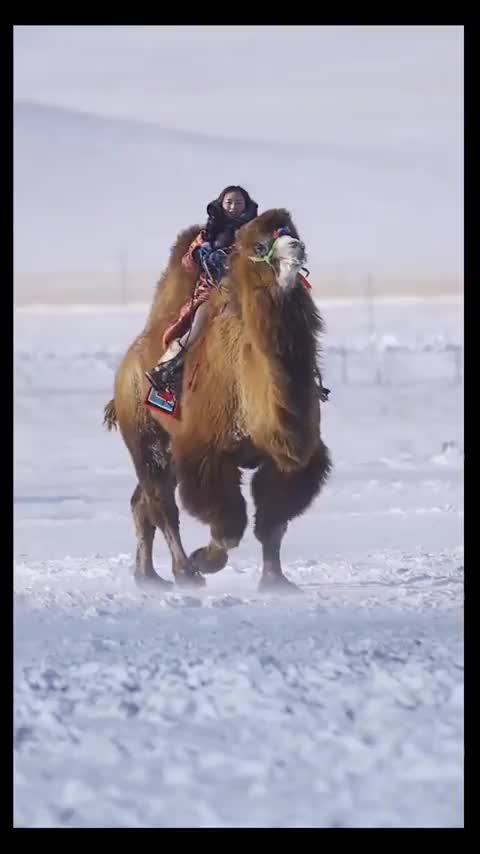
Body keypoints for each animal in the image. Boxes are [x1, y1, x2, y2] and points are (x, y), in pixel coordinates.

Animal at [103, 208, 331, 592]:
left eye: (293, 233)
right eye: (261, 245)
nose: (297, 249)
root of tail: (126, 369)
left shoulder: (293, 458)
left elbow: (273, 521)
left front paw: (277, 582)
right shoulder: (206, 451)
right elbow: (227, 524)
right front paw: (204, 561)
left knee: (142, 502)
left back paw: (148, 577)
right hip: (145, 434)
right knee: (162, 503)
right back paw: (183, 573)